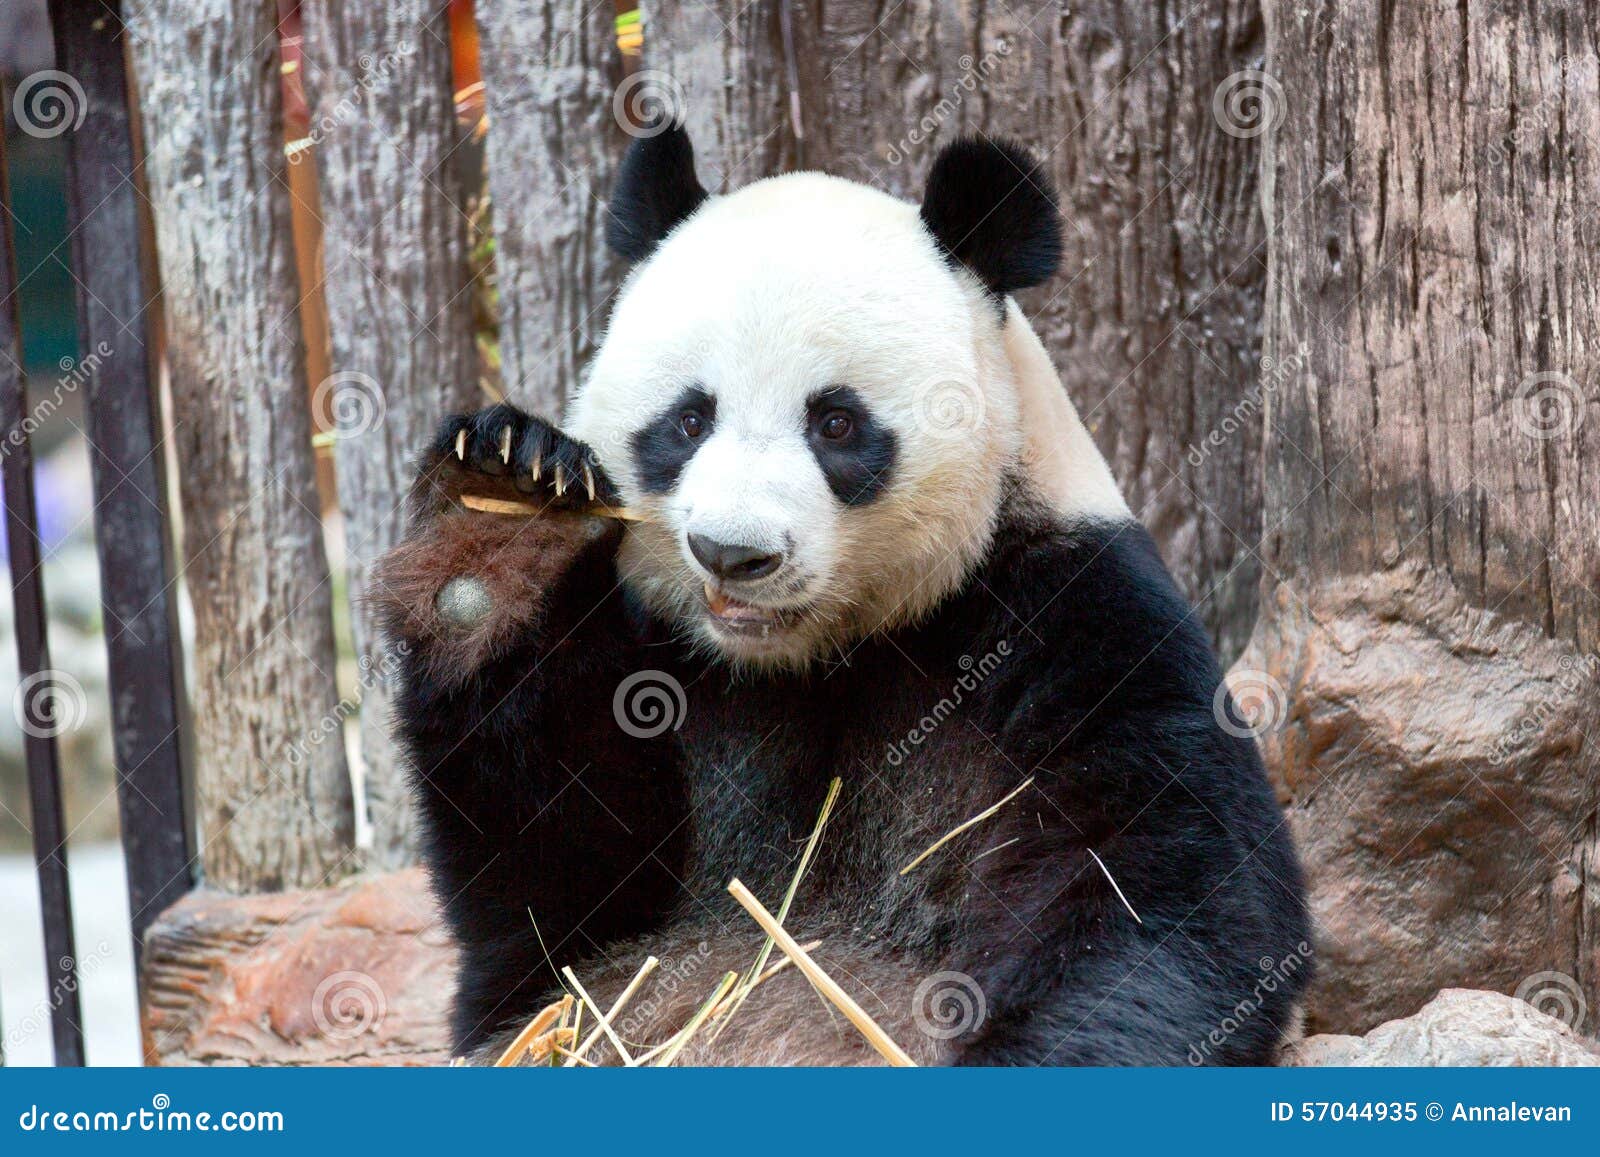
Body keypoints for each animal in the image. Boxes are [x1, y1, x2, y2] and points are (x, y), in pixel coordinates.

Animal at [374, 125, 1311, 1066]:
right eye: (688, 420)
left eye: (836, 423)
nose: (733, 553)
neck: (810, 653)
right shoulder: (662, 661)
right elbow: (556, 909)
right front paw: (501, 531)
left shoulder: (1068, 606)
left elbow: (1158, 882)